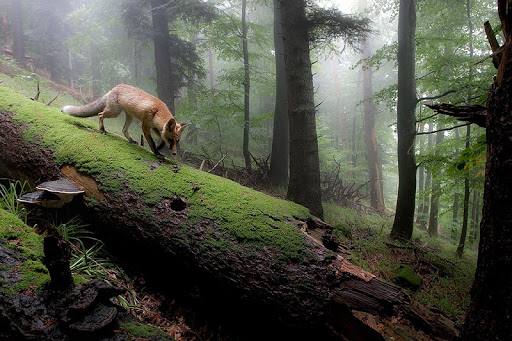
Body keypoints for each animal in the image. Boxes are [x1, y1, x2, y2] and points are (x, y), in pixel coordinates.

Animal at [62, 83, 190, 155]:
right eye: (171, 139)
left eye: (177, 141)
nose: (174, 154)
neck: (157, 112)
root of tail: (114, 88)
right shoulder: (145, 126)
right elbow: (152, 142)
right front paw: (157, 152)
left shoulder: (155, 127)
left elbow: (160, 138)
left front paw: (160, 147)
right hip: (114, 112)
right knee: (100, 114)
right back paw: (102, 130)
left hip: (130, 117)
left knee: (123, 130)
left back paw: (131, 140)